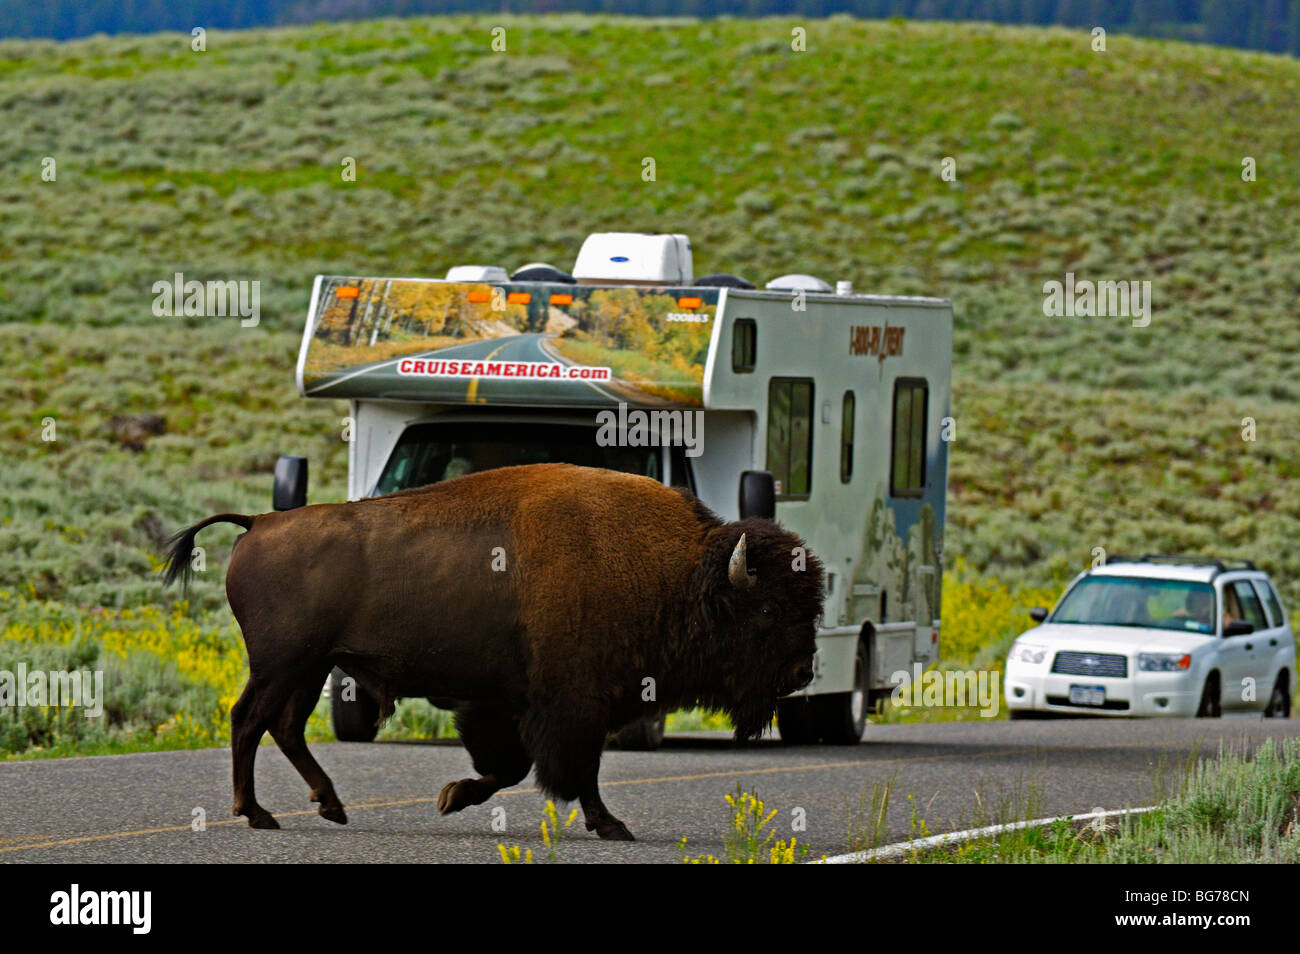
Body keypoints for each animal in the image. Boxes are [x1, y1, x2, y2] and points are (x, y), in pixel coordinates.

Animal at [162, 463, 824, 840]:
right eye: (767, 611)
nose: (803, 671)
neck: (677, 573)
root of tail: (259, 523)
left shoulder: (508, 704)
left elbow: (512, 767)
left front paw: (453, 797)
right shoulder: (570, 705)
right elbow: (572, 770)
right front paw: (612, 826)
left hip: (311, 666)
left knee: (283, 727)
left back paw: (329, 807)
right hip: (283, 664)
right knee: (248, 720)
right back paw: (258, 813)